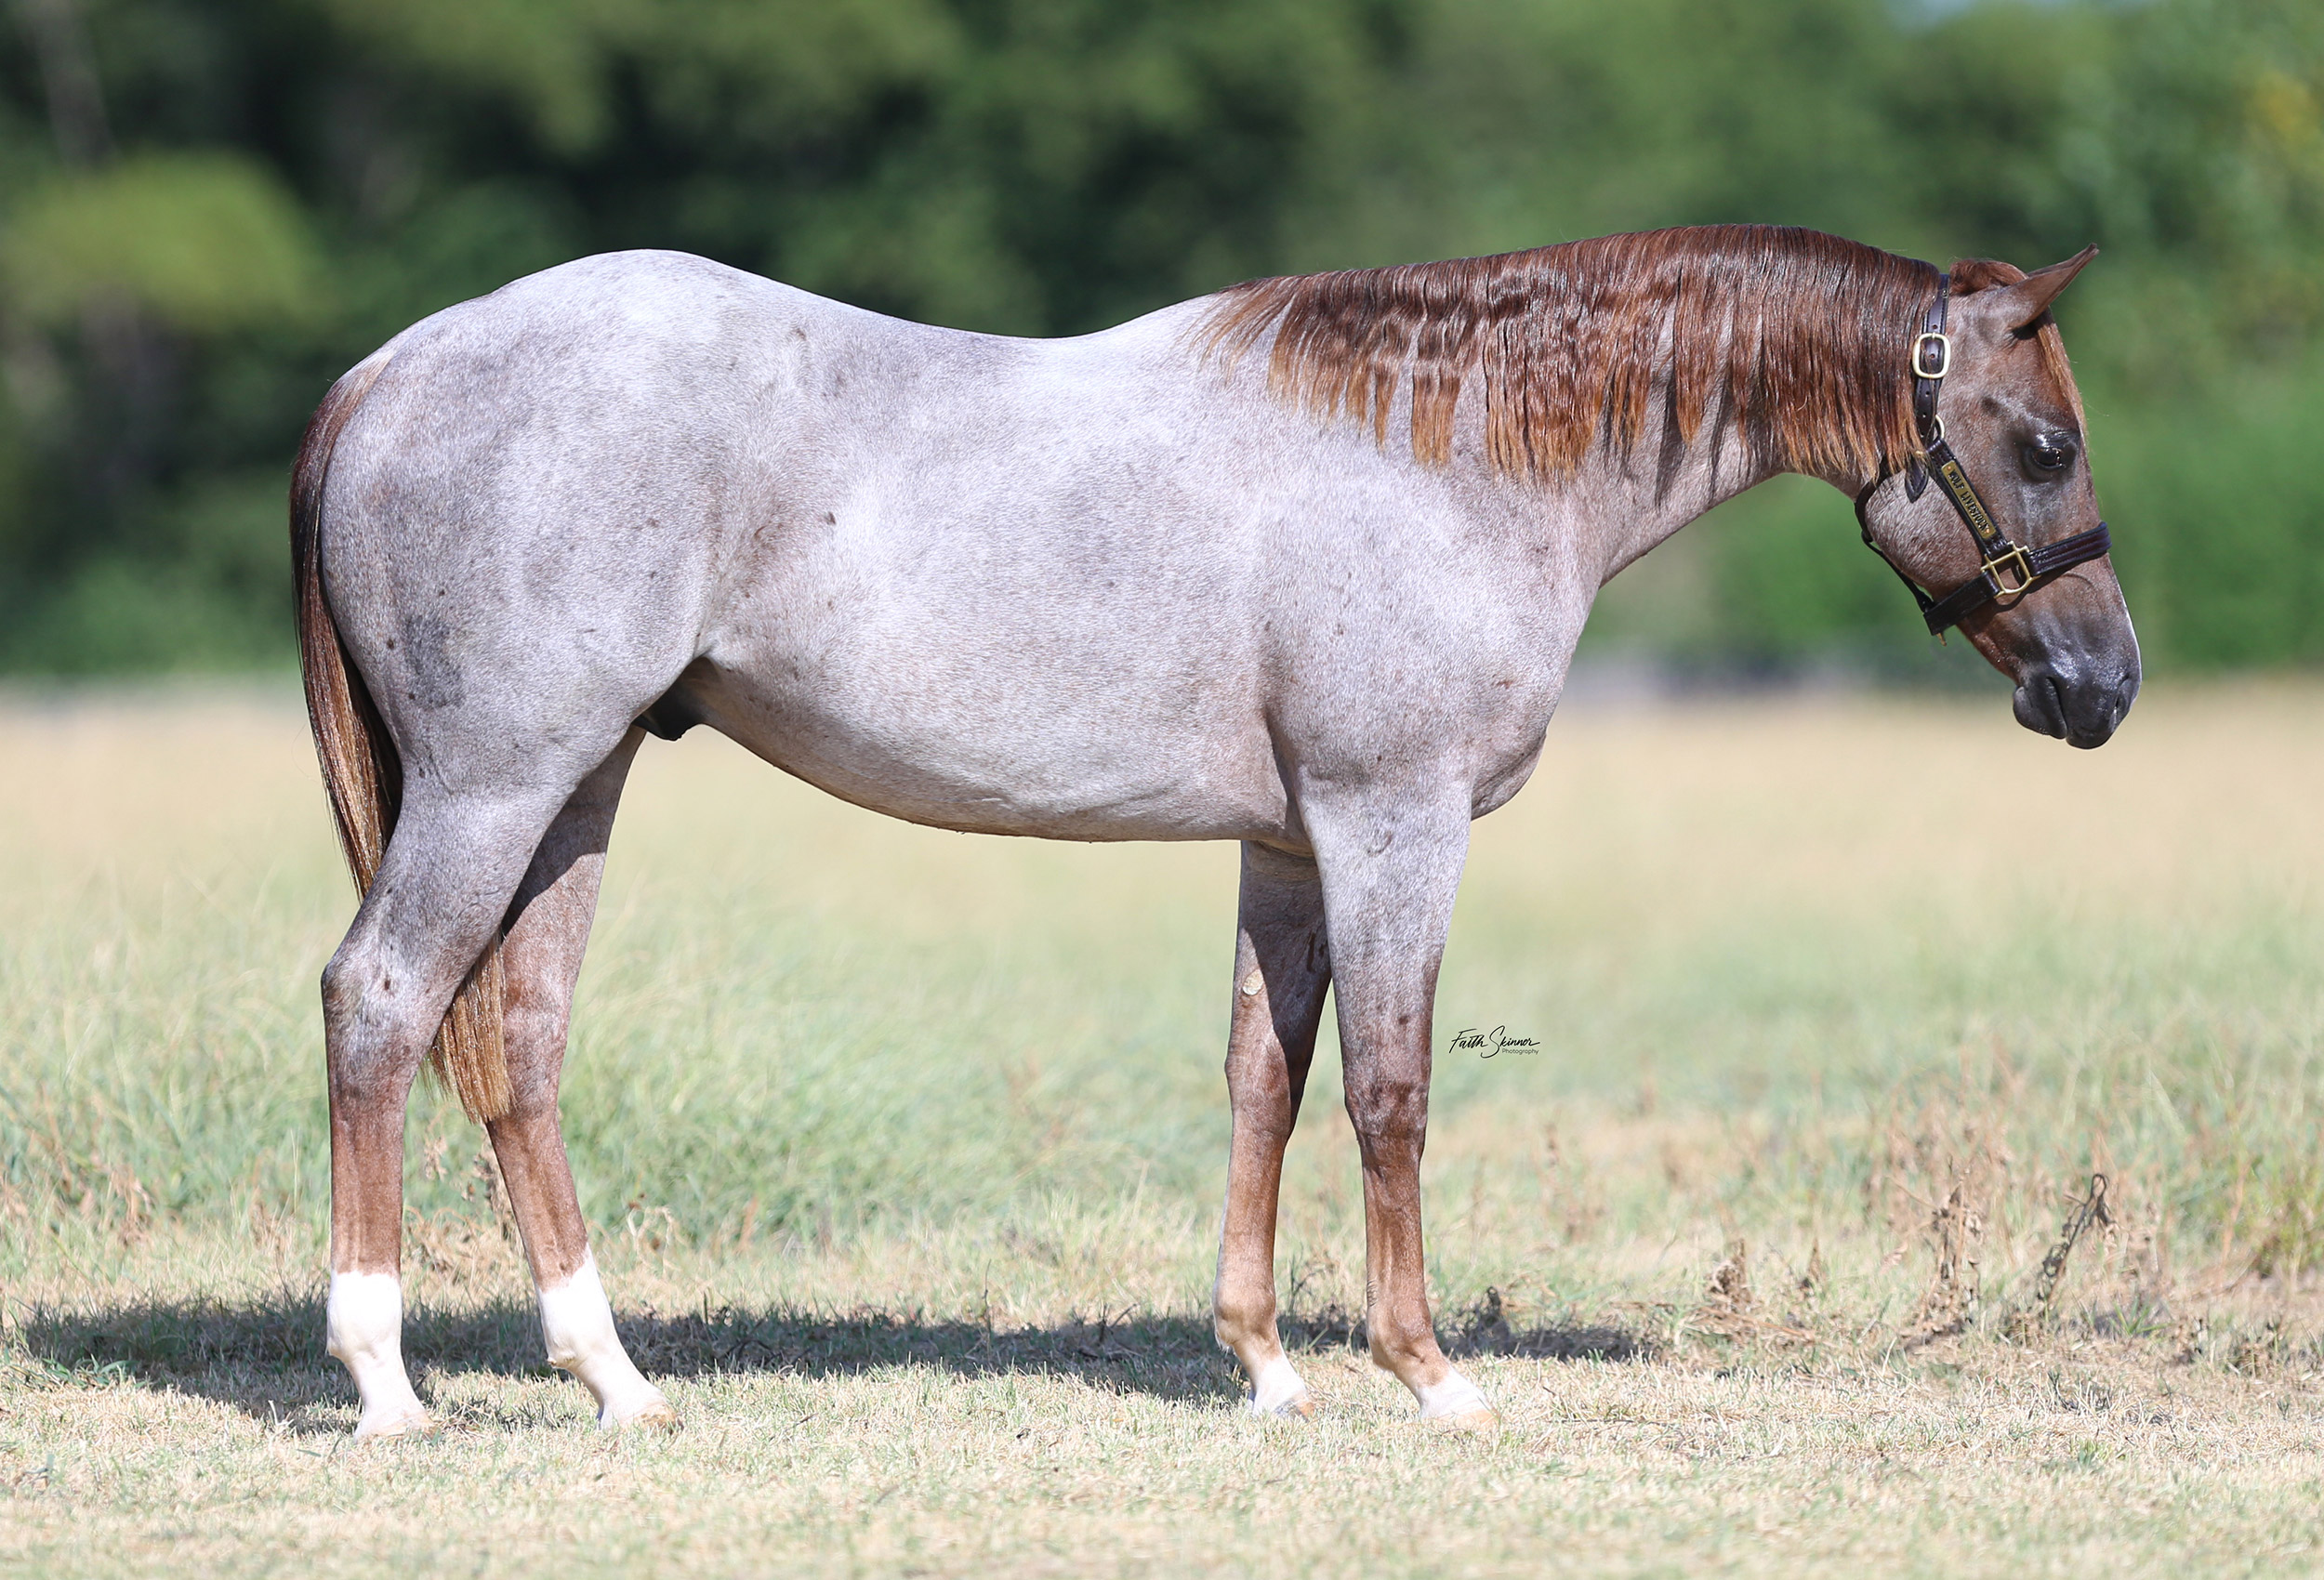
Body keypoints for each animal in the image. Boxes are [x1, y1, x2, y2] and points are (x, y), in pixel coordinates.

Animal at [292, 223, 2137, 1437]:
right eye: (2044, 443)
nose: (2104, 685)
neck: (1449, 452)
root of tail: (390, 366)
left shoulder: (1290, 847)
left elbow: (1268, 1077)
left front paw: (1264, 1362)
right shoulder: (1394, 825)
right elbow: (1391, 1091)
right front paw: (1430, 1374)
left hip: (579, 787)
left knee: (519, 1042)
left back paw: (613, 1380)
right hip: (498, 782)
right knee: (381, 1002)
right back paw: (384, 1381)